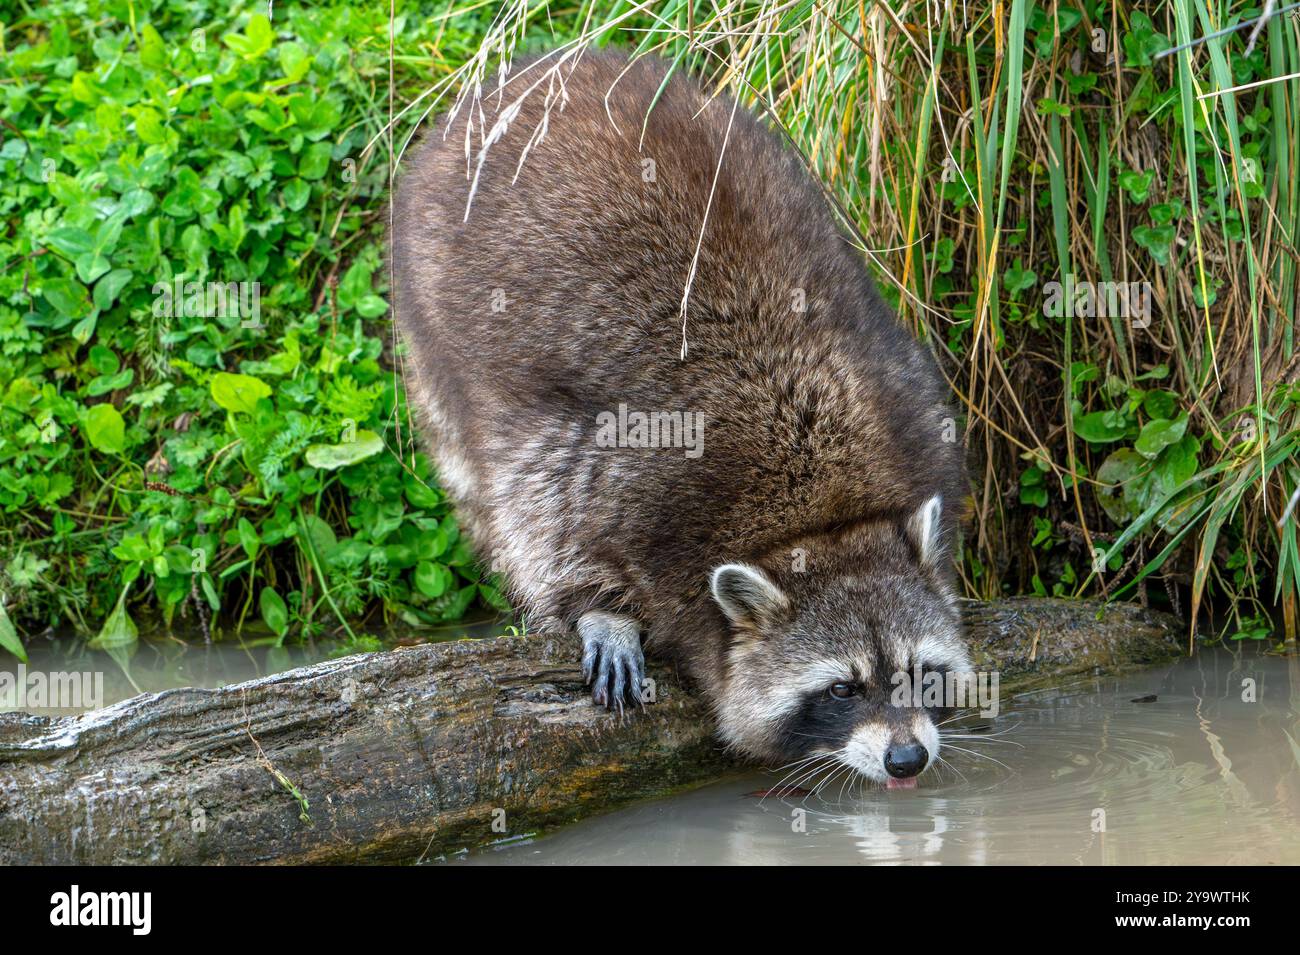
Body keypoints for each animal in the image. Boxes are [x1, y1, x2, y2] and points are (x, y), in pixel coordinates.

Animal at [392, 49, 970, 786]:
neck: (819, 521)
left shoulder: (910, 409)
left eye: (921, 672)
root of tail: (525, 72)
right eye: (842, 689)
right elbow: (544, 515)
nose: (907, 758)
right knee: (474, 468)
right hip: (429, 295)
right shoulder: (626, 468)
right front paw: (599, 610)